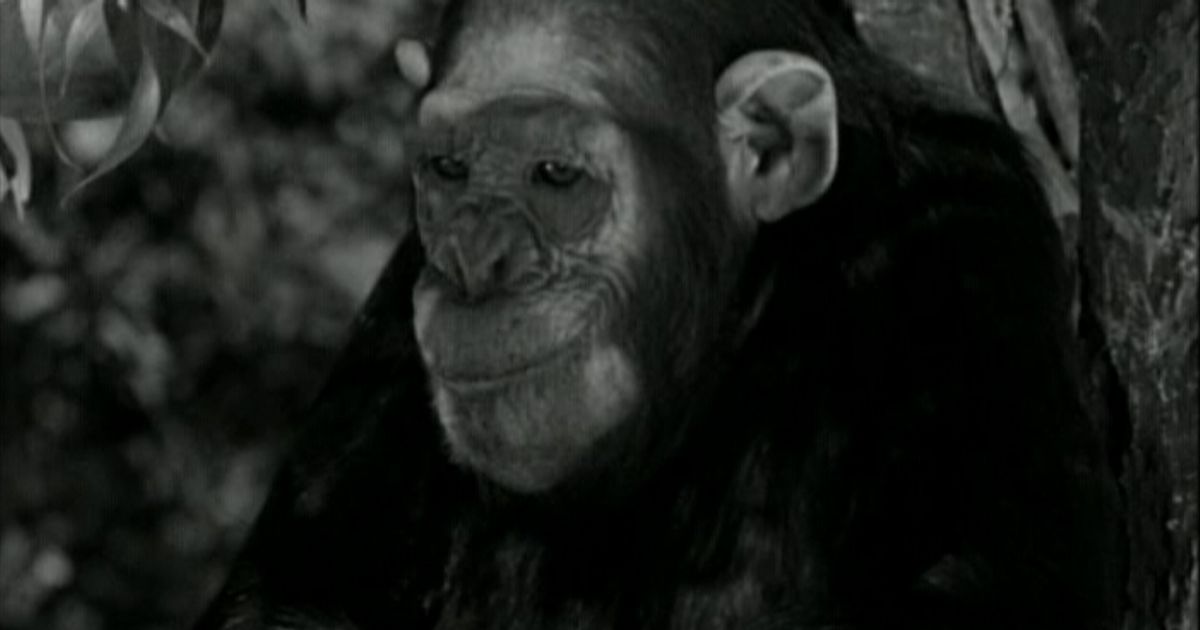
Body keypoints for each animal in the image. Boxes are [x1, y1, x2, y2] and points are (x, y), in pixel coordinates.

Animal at [195, 1, 1117, 628]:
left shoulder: (963, 249)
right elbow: (288, 591)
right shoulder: (395, 301)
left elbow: (978, 584)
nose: (473, 264)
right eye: (450, 169)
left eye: (556, 174)